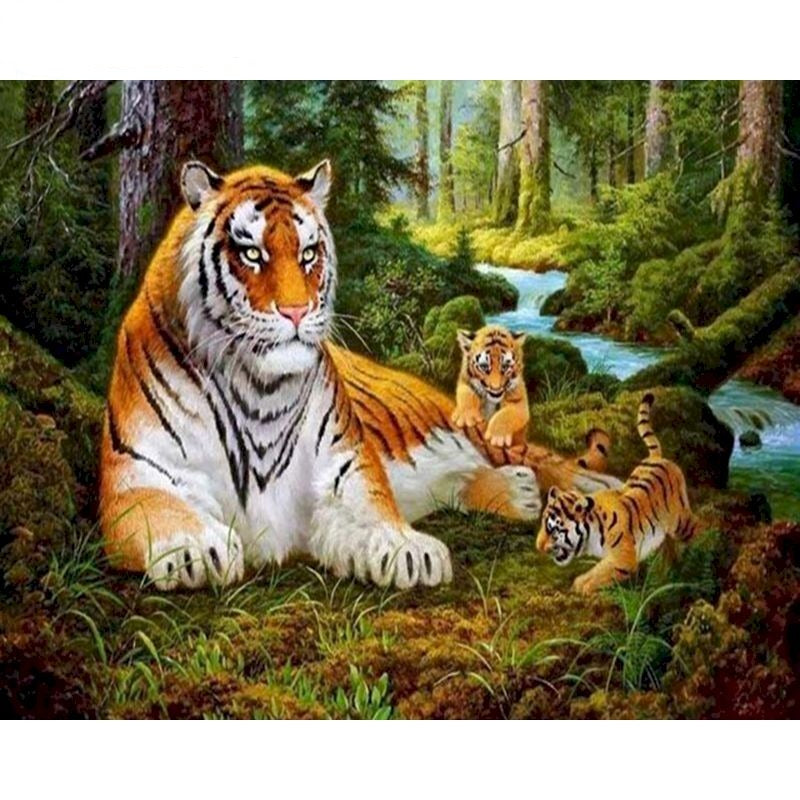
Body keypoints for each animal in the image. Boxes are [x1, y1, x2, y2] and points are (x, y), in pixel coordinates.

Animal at [99, 158, 621, 592]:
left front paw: (407, 549)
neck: (258, 388)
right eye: (251, 254)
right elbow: (162, 509)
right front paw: (194, 550)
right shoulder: (136, 471)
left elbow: (370, 505)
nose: (296, 311)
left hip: (473, 425)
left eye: (309, 253)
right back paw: (519, 492)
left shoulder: (344, 460)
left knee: (544, 461)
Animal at [536, 392, 701, 595]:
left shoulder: (623, 558)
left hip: (681, 520)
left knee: (696, 529)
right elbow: (599, 569)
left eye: (552, 529)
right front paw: (580, 582)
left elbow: (601, 573)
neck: (591, 534)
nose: (538, 547)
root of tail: (656, 457)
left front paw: (583, 586)